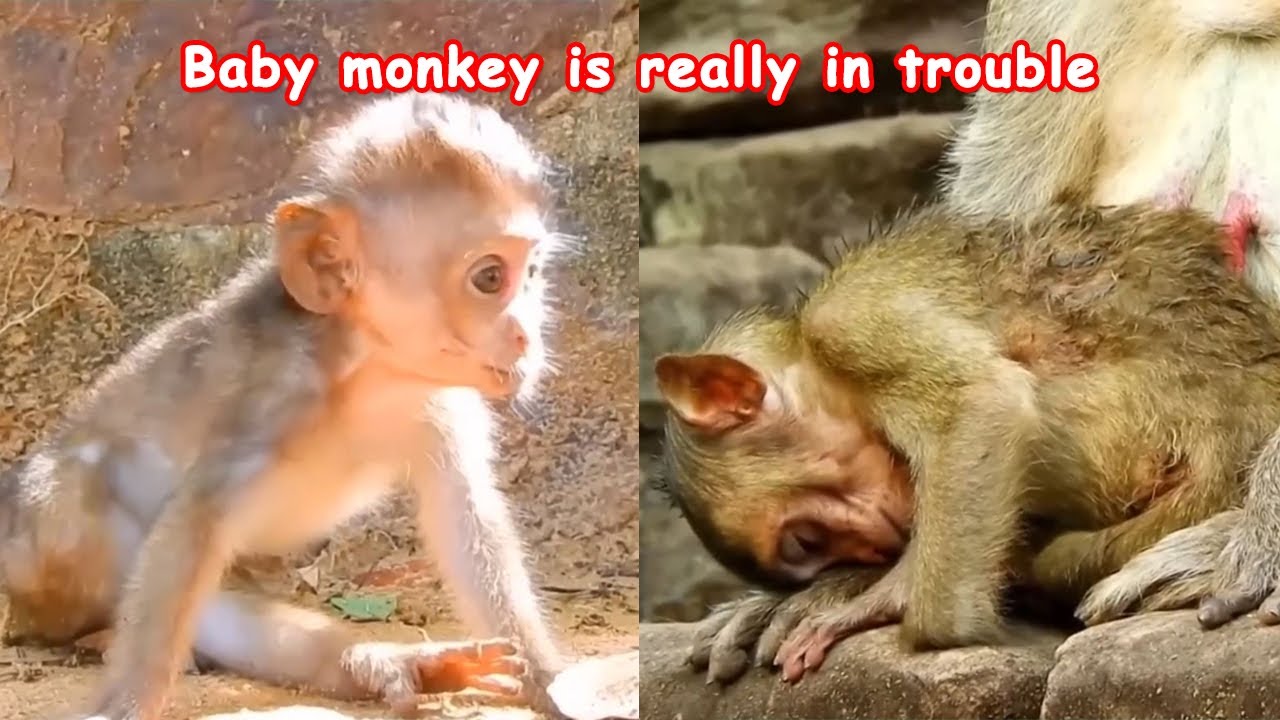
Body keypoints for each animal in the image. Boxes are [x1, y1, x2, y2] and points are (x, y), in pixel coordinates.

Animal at [0, 92, 571, 720]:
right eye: (490, 278)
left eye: (532, 274)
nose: (525, 335)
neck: (370, 370)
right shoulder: (272, 397)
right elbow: (198, 518)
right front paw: (127, 699)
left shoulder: (444, 407)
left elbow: (466, 519)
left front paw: (550, 679)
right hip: (43, 536)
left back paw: (383, 663)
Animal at [652, 202, 1280, 684]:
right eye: (823, 547)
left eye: (806, 540)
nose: (879, 545)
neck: (813, 353)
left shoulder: (855, 325)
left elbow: (980, 403)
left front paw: (889, 602)